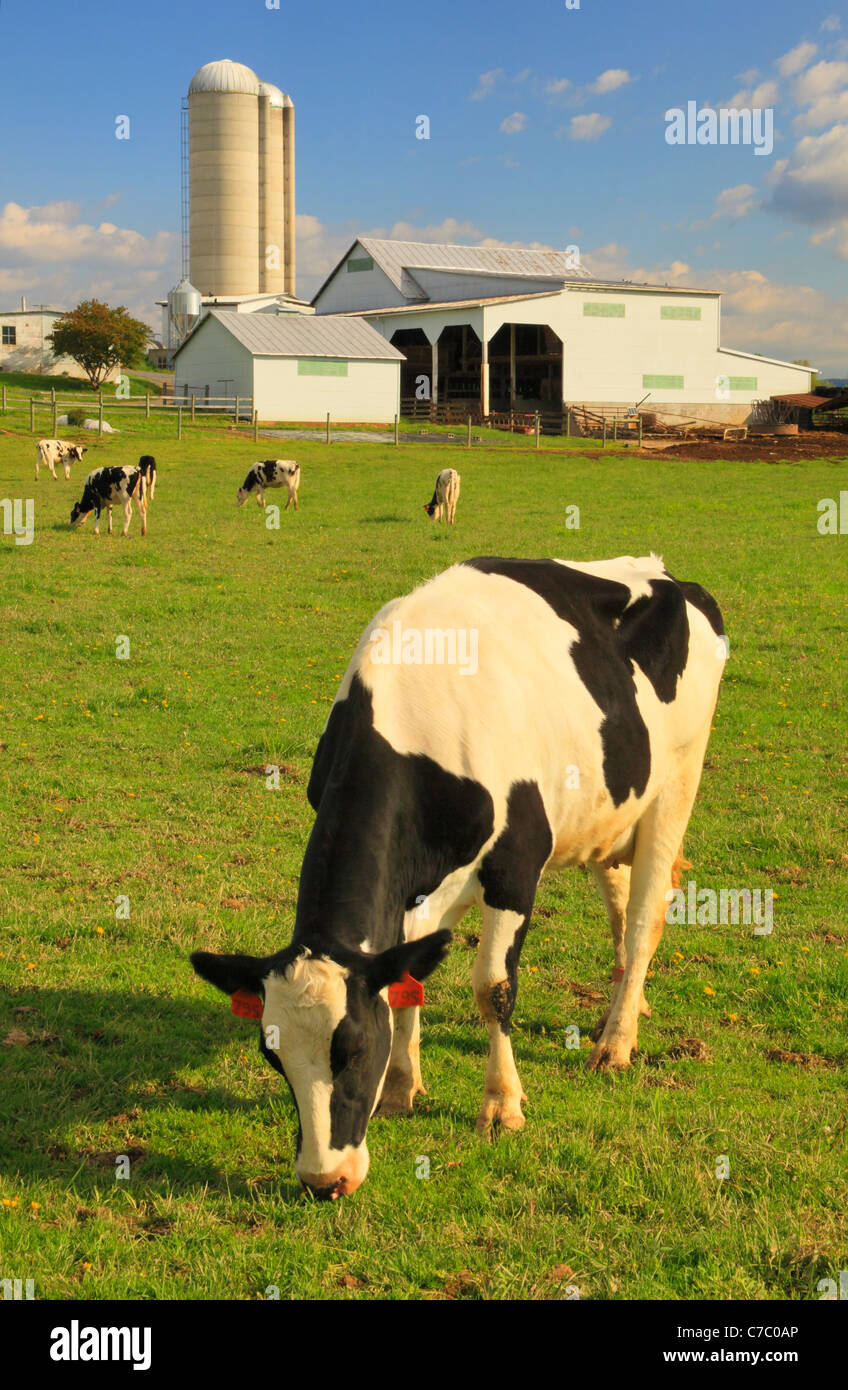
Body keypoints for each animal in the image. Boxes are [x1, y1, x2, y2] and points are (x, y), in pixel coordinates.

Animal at [191, 553, 725, 1200]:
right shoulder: (411, 891)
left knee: (646, 916)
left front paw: (501, 1104)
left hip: (676, 786)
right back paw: (628, 1007)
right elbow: (406, 977)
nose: (325, 1179)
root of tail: (660, 570)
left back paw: (615, 1043)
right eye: (273, 1057)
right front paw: (401, 1086)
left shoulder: (517, 863)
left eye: (355, 1049)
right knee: (620, 906)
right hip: (614, 805)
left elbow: (492, 987)